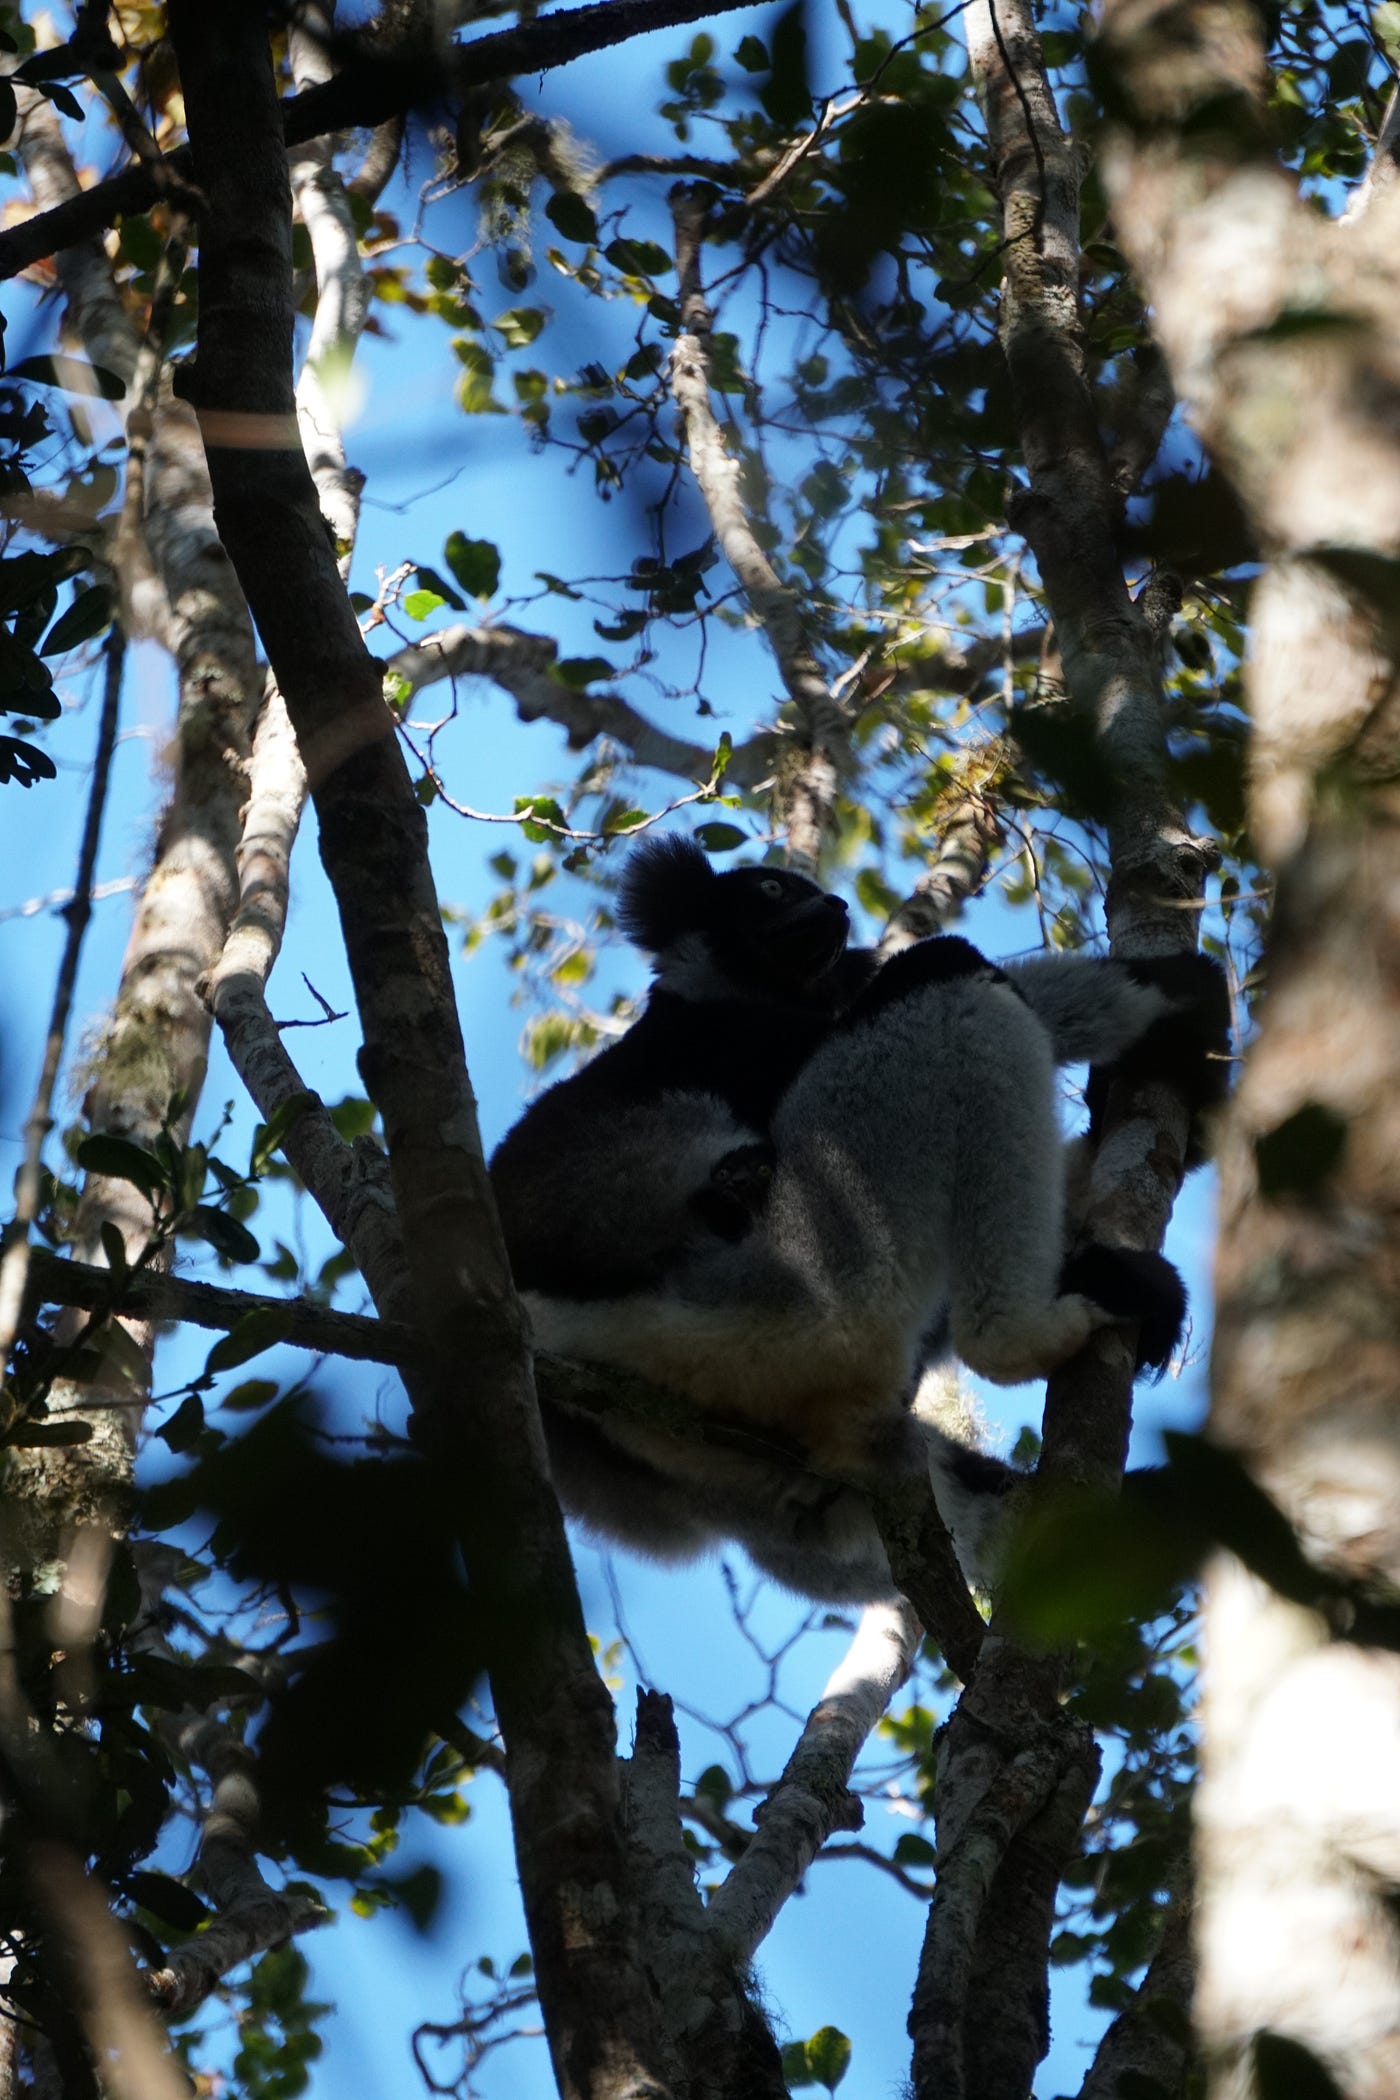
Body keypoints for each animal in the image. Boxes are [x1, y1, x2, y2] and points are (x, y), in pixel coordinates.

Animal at [490, 835, 1230, 1602]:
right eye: (770, 892)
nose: (835, 906)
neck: (724, 993)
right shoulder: (734, 1038)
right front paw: (1178, 993)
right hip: (793, 1286)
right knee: (943, 977)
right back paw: (1023, 1330)